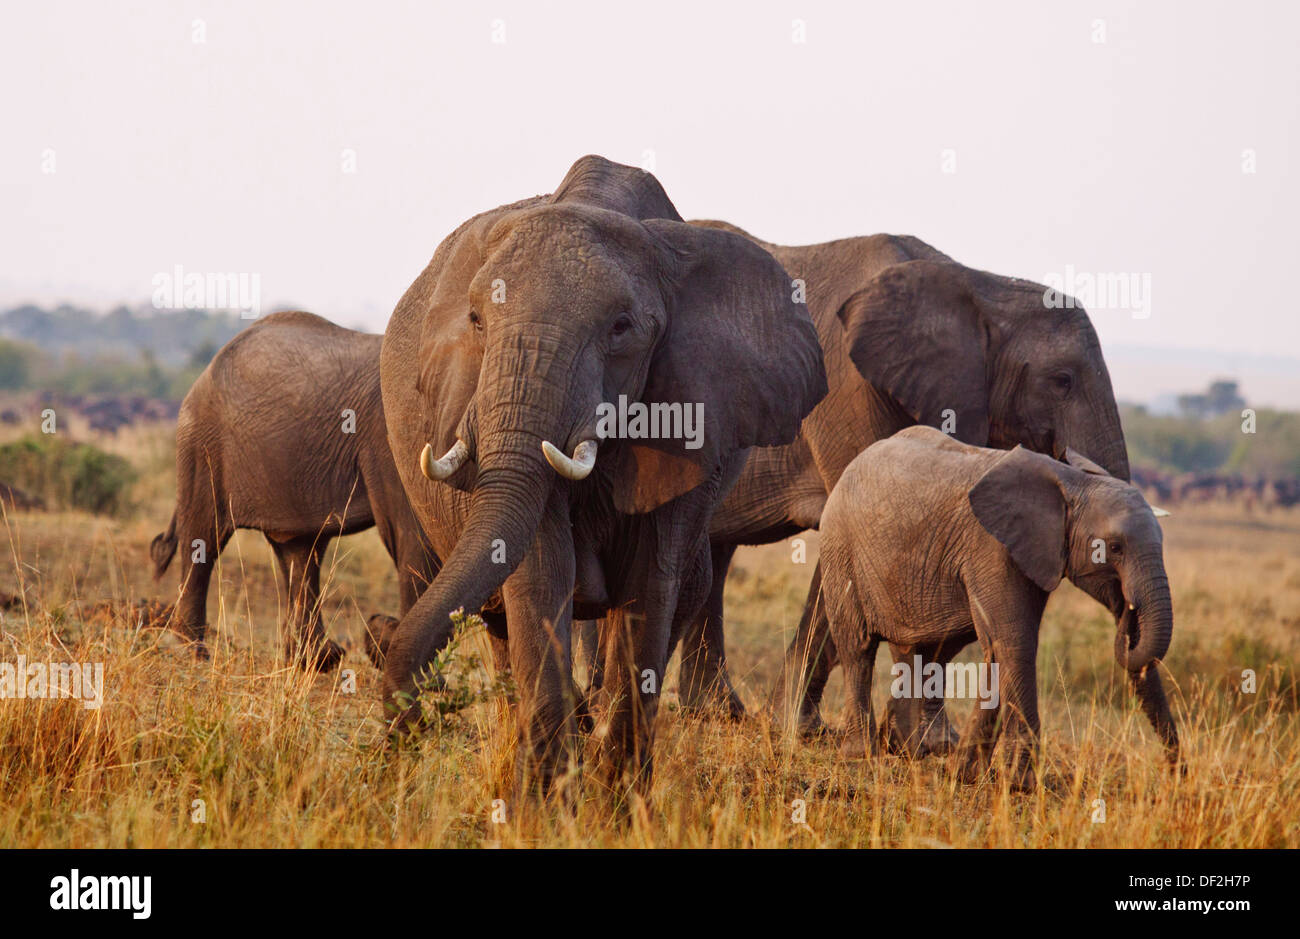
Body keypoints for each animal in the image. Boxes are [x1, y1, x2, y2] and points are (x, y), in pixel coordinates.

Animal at [150, 310, 438, 670]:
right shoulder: (388, 434)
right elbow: (411, 531)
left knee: (301, 549)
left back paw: (318, 660)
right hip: (201, 446)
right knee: (204, 539)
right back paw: (193, 654)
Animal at [376, 155, 827, 798]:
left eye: (621, 328)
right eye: (476, 320)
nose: (403, 727)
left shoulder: (692, 421)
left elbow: (650, 583)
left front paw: (616, 802)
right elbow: (540, 571)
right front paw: (543, 804)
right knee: (499, 618)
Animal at [673, 221, 1132, 755]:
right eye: (1061, 380)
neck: (979, 286)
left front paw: (922, 743)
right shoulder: (845, 385)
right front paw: (808, 731)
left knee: (714, 549)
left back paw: (712, 711)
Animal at [819, 426, 1178, 787]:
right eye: (1114, 548)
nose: (1178, 770)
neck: (1071, 481)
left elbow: (998, 646)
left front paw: (962, 773)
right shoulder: (992, 548)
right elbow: (1015, 642)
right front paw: (1022, 783)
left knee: (930, 652)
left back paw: (908, 750)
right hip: (840, 549)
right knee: (858, 647)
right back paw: (863, 753)